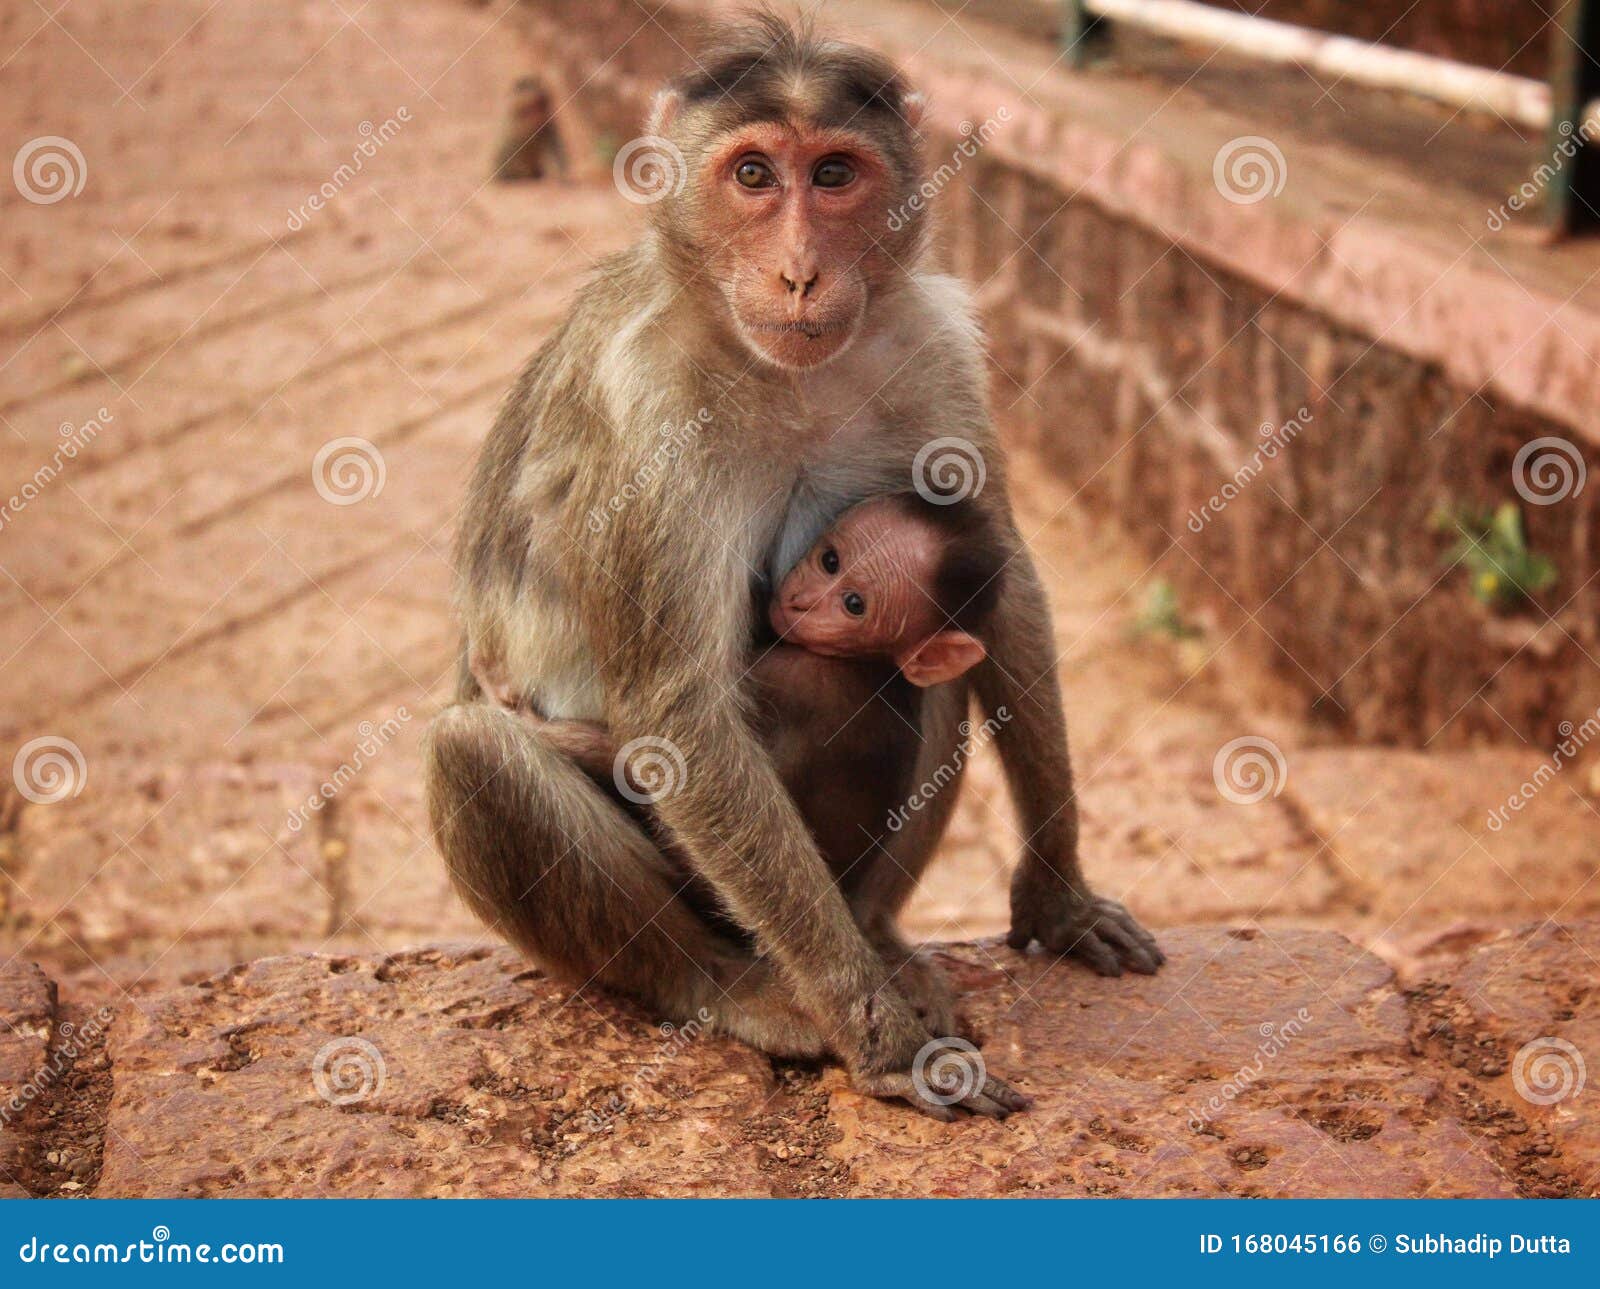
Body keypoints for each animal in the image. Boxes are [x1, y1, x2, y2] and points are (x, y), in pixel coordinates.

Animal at [425, 14, 1163, 1122]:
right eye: (752, 175)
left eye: (835, 175)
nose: (802, 272)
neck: (778, 368)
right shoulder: (645, 409)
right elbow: (678, 714)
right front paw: (885, 1046)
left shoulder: (933, 342)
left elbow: (1005, 583)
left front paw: (1058, 894)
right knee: (474, 750)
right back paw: (733, 985)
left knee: (934, 664)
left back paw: (881, 939)